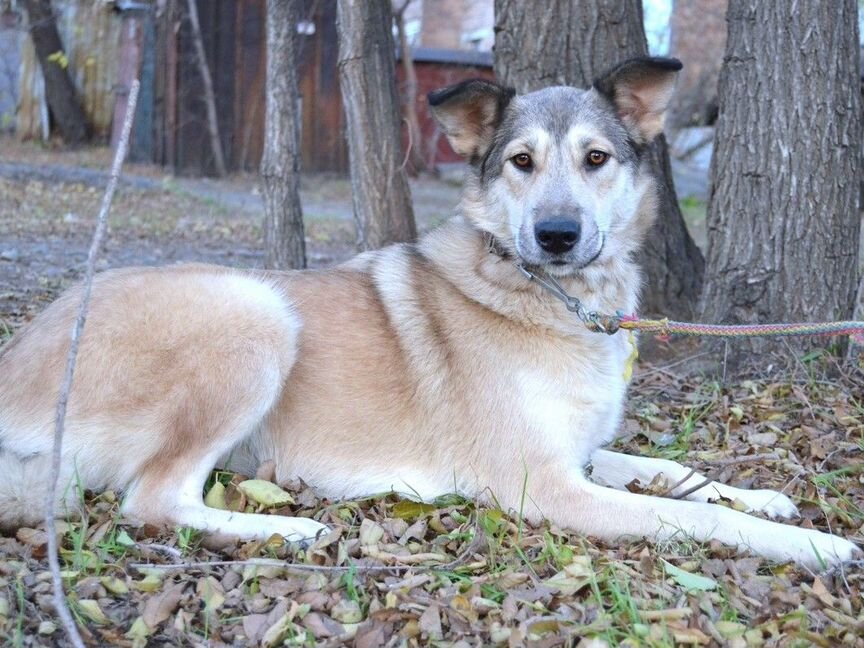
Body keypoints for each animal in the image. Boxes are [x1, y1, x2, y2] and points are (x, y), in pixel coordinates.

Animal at [0, 58, 860, 568]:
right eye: (520, 162)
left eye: (596, 158)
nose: (556, 234)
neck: (553, 299)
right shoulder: (545, 486)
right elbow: (686, 517)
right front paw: (809, 541)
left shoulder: (579, 454)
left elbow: (676, 474)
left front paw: (761, 495)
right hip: (252, 309)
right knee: (151, 499)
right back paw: (288, 528)